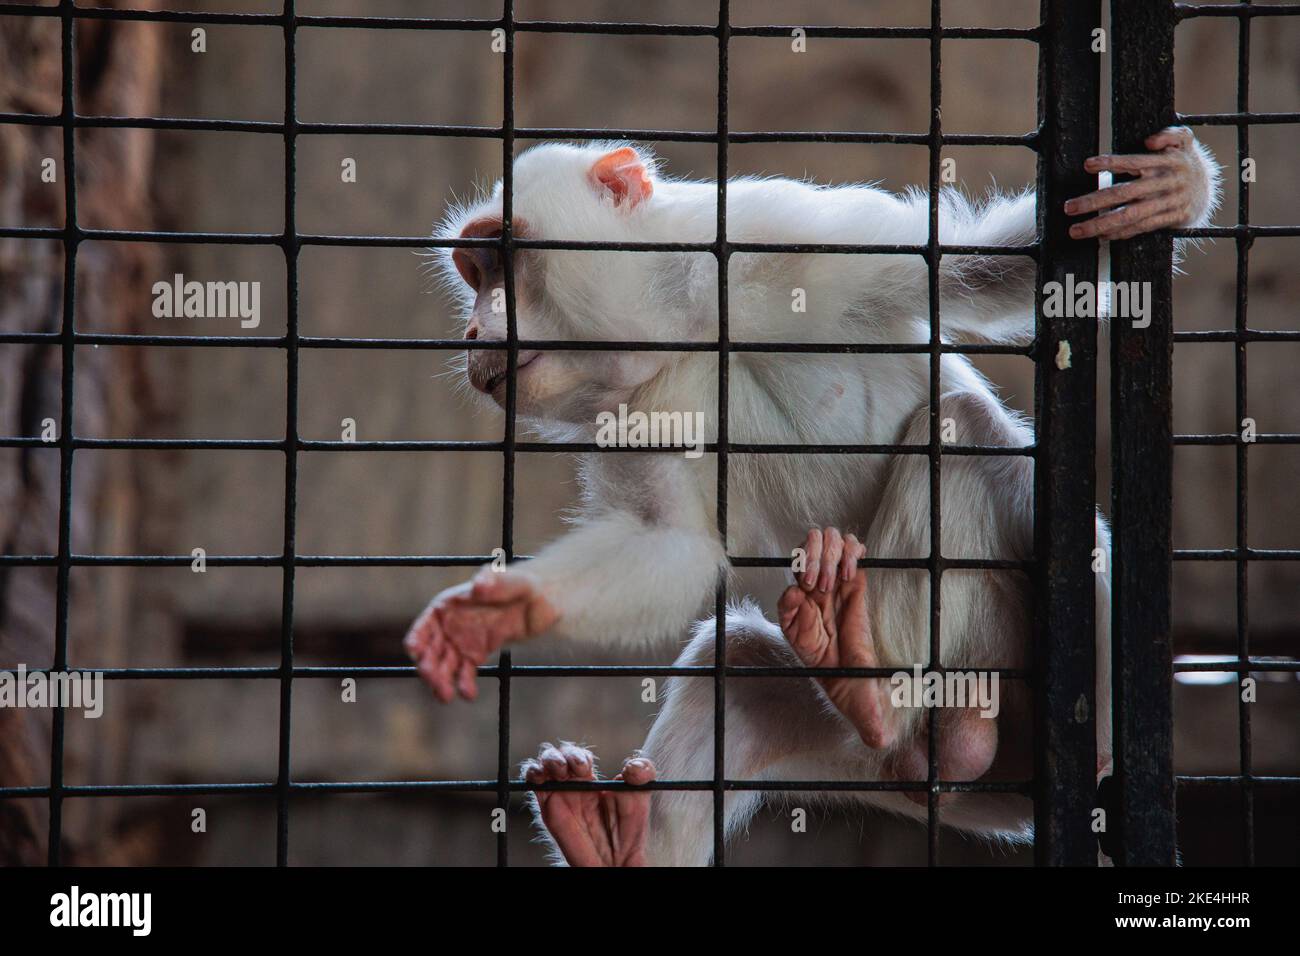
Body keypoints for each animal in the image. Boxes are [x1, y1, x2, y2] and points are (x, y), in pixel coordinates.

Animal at [404, 127, 1220, 864]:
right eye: (472, 273)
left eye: (497, 262)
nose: (474, 331)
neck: (690, 327)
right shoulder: (637, 401)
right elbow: (666, 538)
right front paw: (499, 608)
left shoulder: (785, 237)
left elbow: (982, 270)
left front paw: (1167, 195)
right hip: (857, 758)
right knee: (741, 673)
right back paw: (623, 841)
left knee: (966, 432)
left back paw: (888, 694)